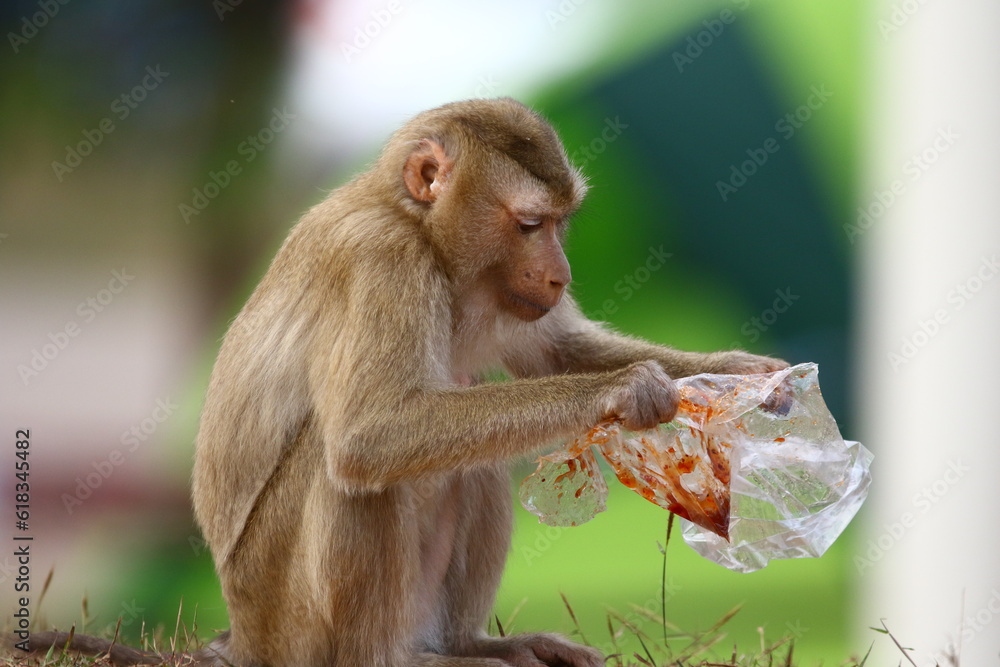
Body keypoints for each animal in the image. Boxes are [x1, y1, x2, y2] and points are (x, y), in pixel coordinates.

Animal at [10, 98, 786, 667]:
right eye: (531, 224)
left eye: (562, 224)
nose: (560, 274)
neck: (420, 231)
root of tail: (244, 640)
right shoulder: (383, 260)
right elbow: (370, 433)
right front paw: (624, 389)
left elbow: (557, 352)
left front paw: (750, 375)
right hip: (289, 621)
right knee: (354, 469)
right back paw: (392, 659)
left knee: (471, 463)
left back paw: (469, 644)